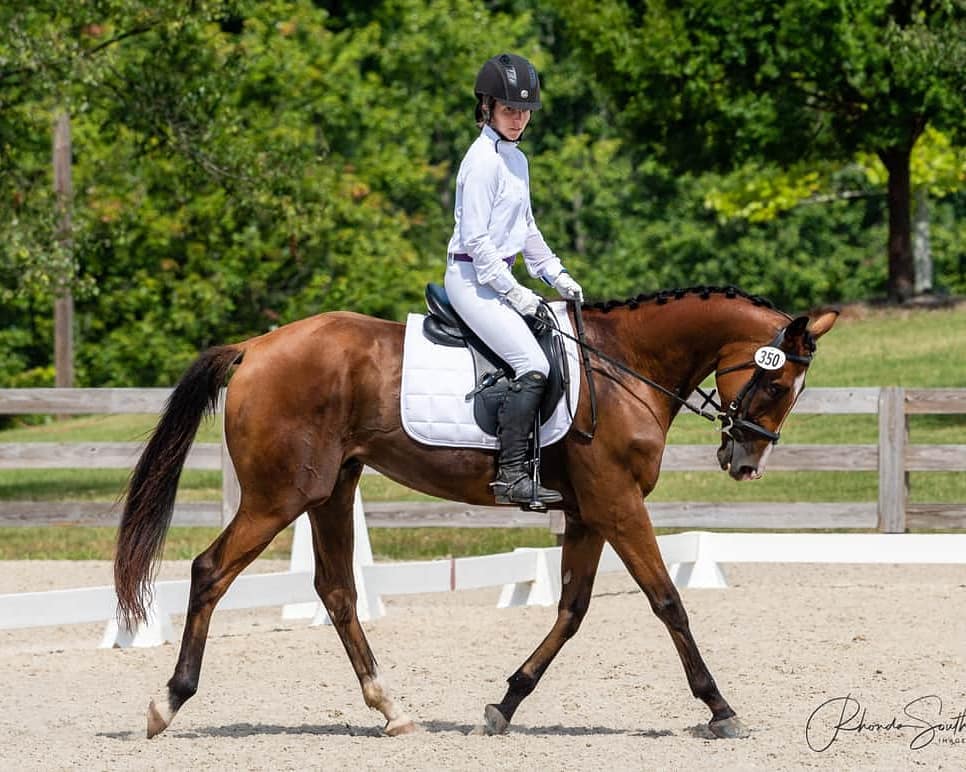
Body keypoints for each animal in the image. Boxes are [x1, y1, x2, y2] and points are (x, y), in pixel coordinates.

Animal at [114, 285, 837, 740]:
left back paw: (391, 709)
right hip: (278, 496)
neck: (625, 368)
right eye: (776, 381)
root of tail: (256, 347)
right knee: (211, 571)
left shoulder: (588, 512)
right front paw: (720, 707)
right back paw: (167, 702)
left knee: (338, 591)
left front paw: (505, 704)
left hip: (331, 489)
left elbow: (572, 610)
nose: (745, 462)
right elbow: (668, 603)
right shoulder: (617, 503)